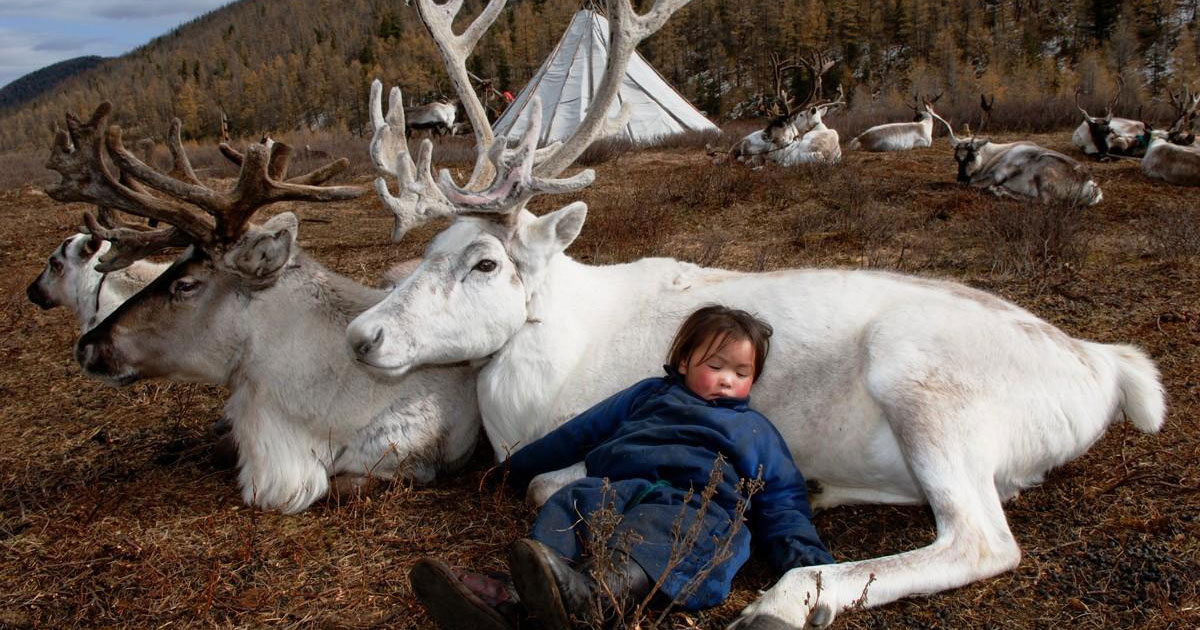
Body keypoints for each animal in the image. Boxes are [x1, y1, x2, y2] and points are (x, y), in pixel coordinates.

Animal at [935, 96, 1103, 205]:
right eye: (956, 157)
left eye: (971, 156)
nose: (961, 178)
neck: (991, 157)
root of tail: (1091, 185)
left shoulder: (998, 173)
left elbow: (971, 184)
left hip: (1044, 174)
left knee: (1045, 201)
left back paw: (1000, 190)